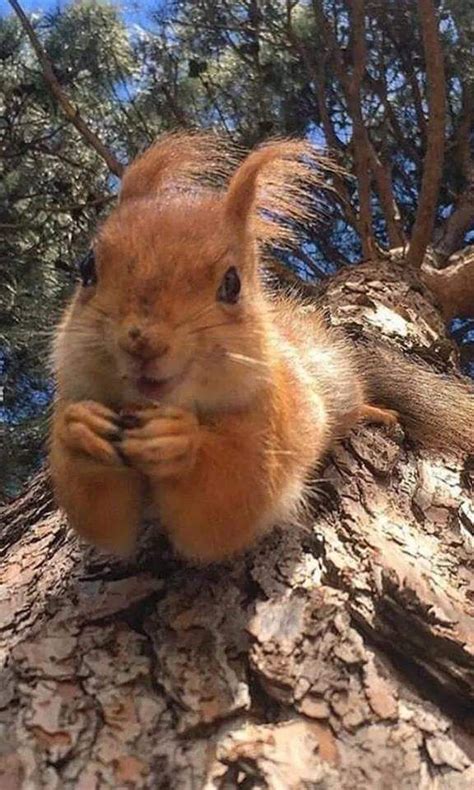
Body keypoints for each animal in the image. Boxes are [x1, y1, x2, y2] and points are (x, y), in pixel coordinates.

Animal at [50, 134, 474, 563]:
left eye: (232, 284)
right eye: (87, 268)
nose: (141, 341)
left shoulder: (275, 424)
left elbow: (227, 501)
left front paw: (183, 440)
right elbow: (102, 521)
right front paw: (79, 430)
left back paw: (376, 412)